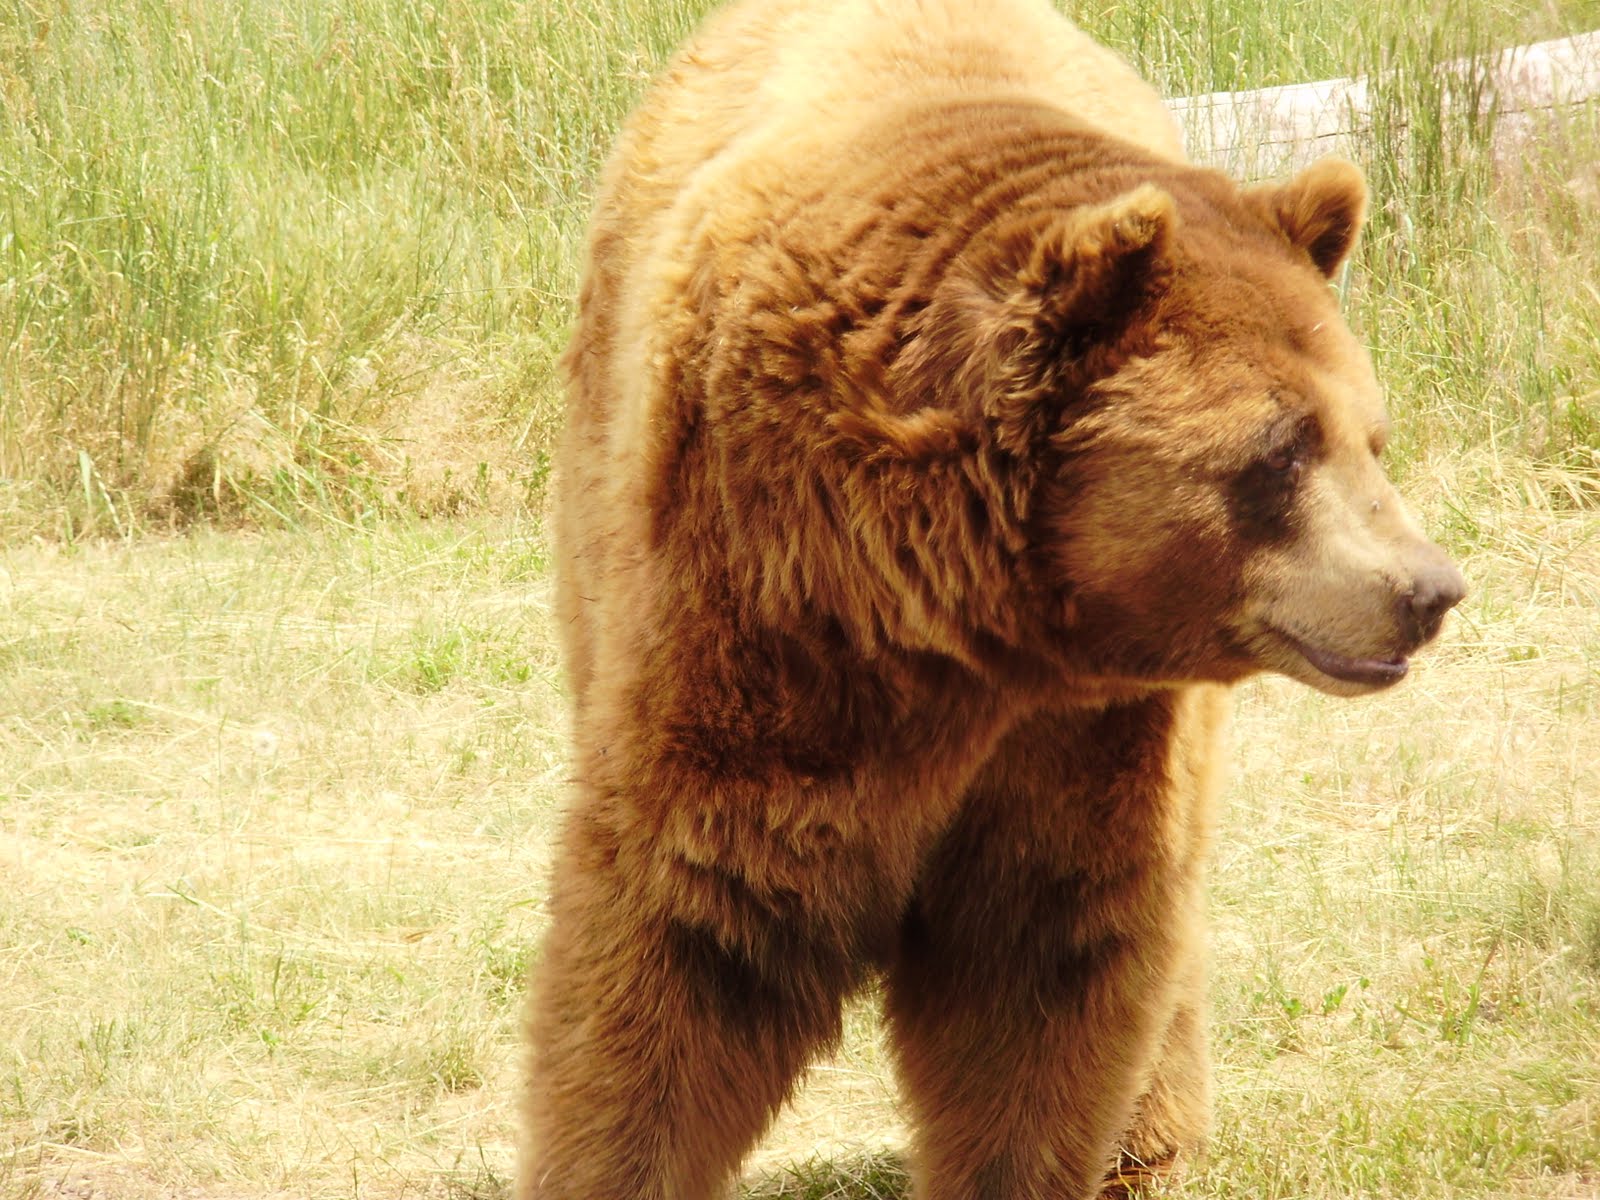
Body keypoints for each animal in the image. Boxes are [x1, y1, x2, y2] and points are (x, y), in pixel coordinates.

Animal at [519, 1, 1466, 1198]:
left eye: (1368, 436)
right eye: (1280, 451)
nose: (1428, 589)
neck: (969, 627)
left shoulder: (1091, 731)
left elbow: (1044, 964)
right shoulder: (759, 615)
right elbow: (697, 929)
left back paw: (1150, 1137)